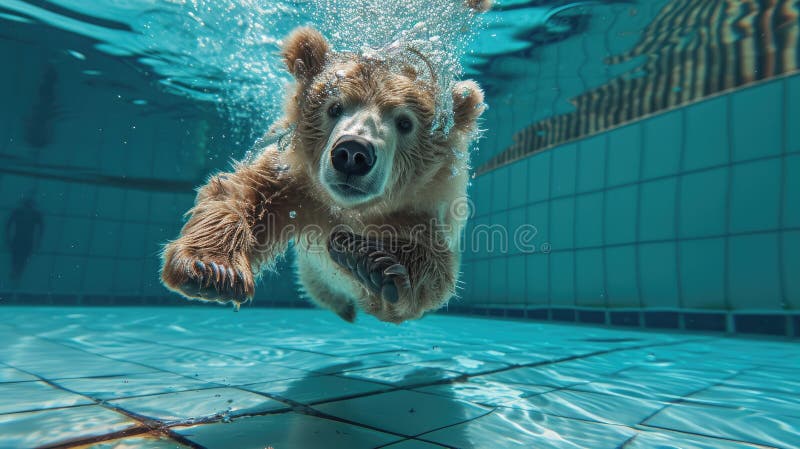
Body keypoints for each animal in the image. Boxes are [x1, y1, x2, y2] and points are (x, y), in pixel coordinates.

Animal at [160, 23, 486, 324]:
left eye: (405, 123)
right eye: (335, 107)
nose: (353, 153)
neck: (348, 208)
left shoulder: (421, 209)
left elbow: (435, 274)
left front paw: (371, 259)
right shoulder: (294, 184)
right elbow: (238, 196)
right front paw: (213, 269)